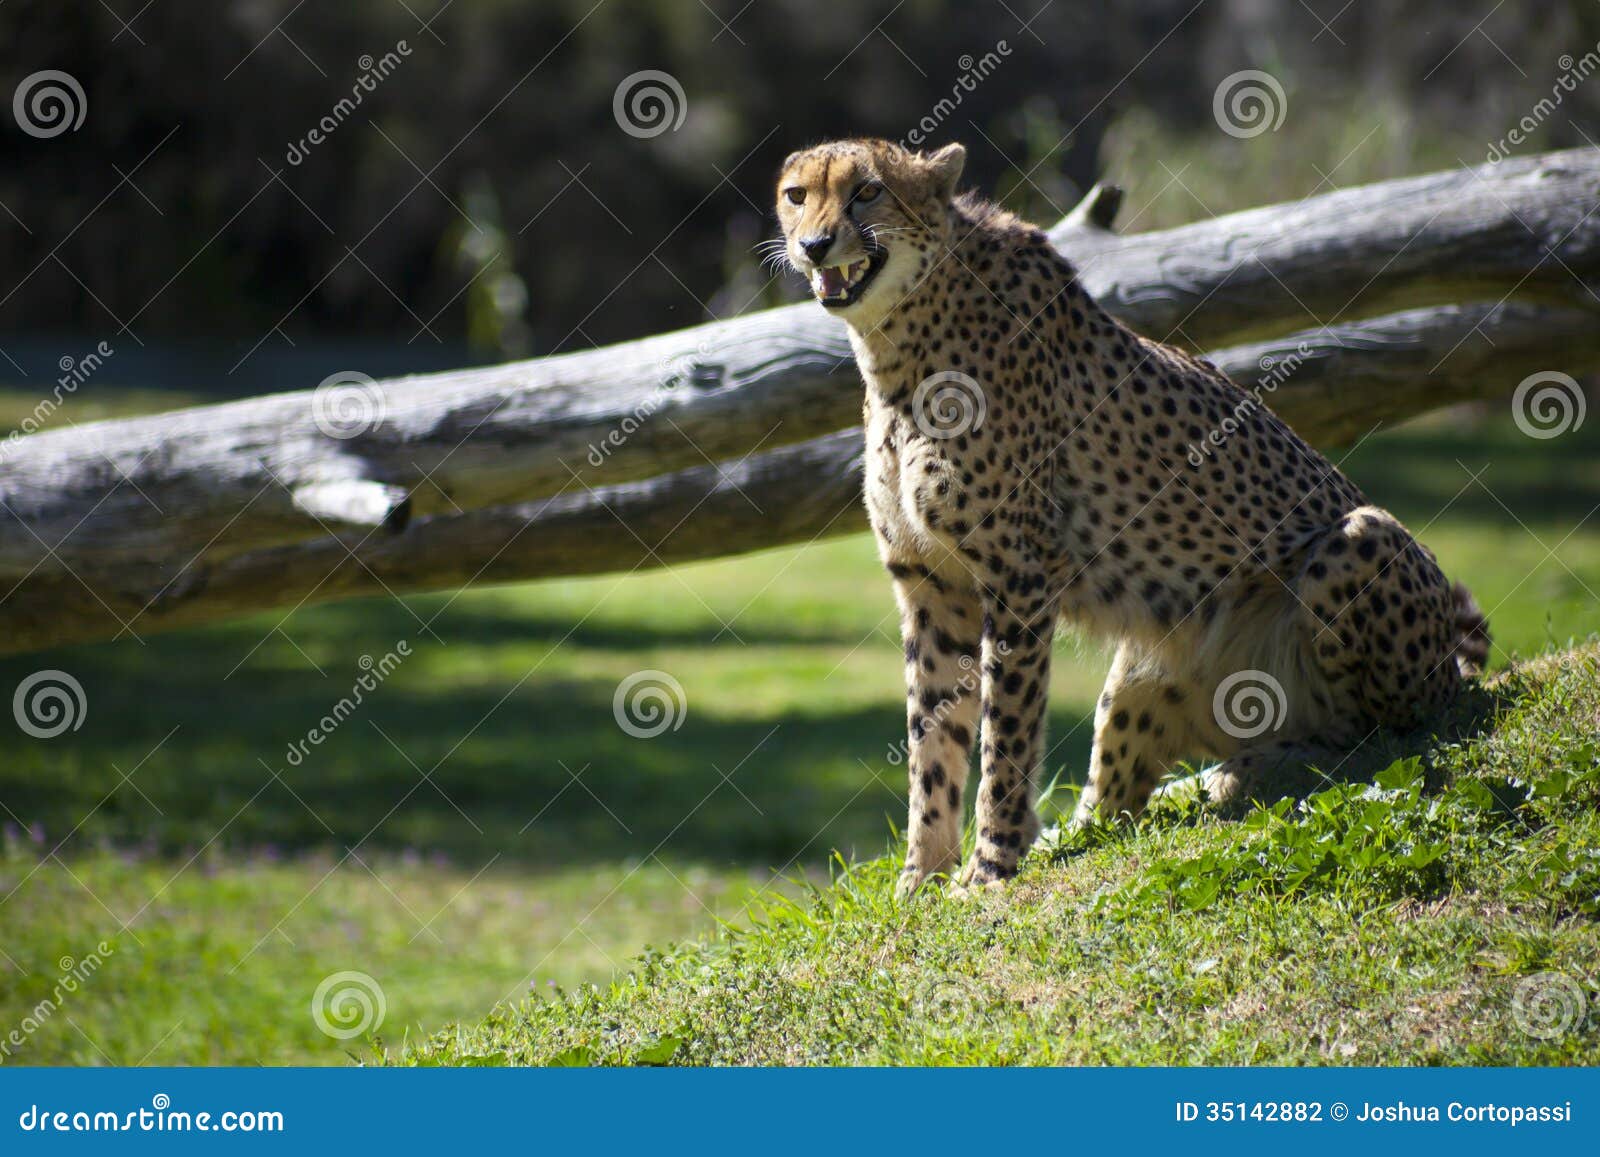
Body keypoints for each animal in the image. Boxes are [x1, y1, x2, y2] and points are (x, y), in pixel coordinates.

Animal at [774, 138, 1490, 898]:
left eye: (868, 192)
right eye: (797, 194)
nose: (815, 245)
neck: (898, 341)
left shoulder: (1019, 577)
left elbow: (1005, 733)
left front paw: (990, 865)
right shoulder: (932, 587)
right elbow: (931, 741)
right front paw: (922, 875)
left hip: (1360, 541)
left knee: (1376, 735)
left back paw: (1262, 768)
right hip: (1146, 668)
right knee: (1114, 805)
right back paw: (1102, 818)